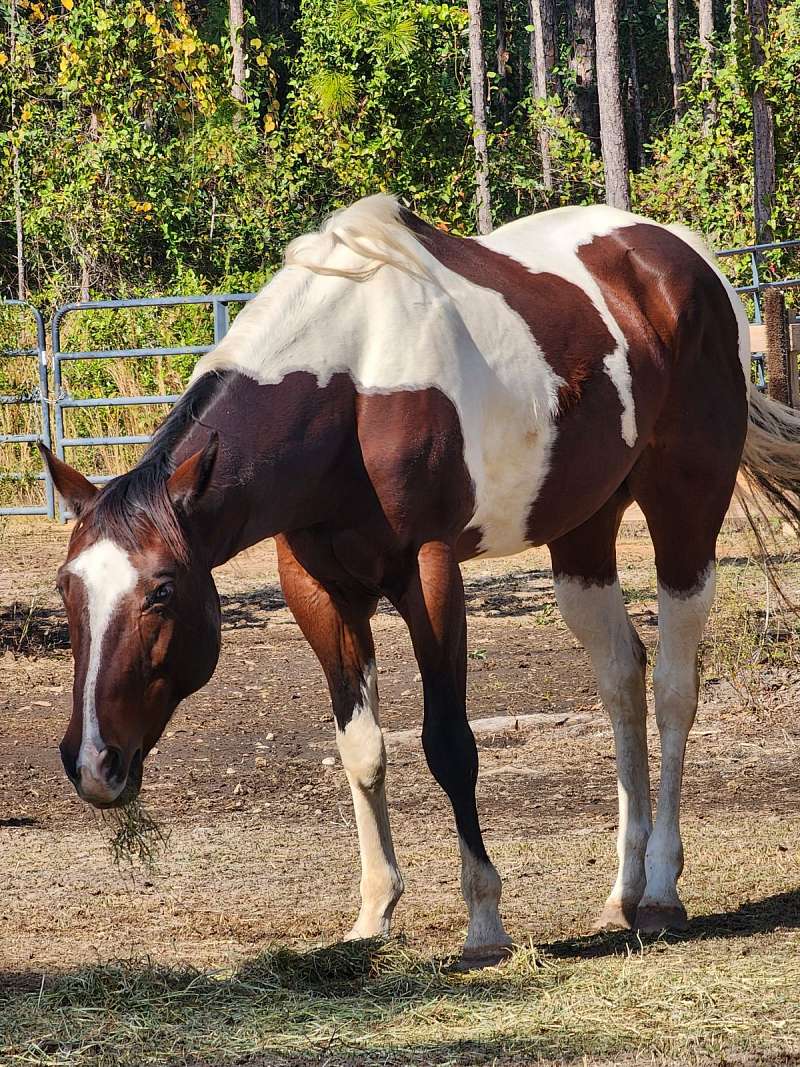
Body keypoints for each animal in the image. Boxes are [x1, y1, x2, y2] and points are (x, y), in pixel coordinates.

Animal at [42, 194, 800, 964]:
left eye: (161, 591)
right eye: (66, 588)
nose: (93, 762)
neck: (351, 385)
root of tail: (684, 257)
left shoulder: (430, 572)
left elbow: (449, 743)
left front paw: (485, 920)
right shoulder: (317, 588)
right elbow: (362, 747)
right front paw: (375, 911)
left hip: (685, 515)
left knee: (675, 687)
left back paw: (662, 893)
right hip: (583, 536)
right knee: (622, 680)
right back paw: (622, 893)